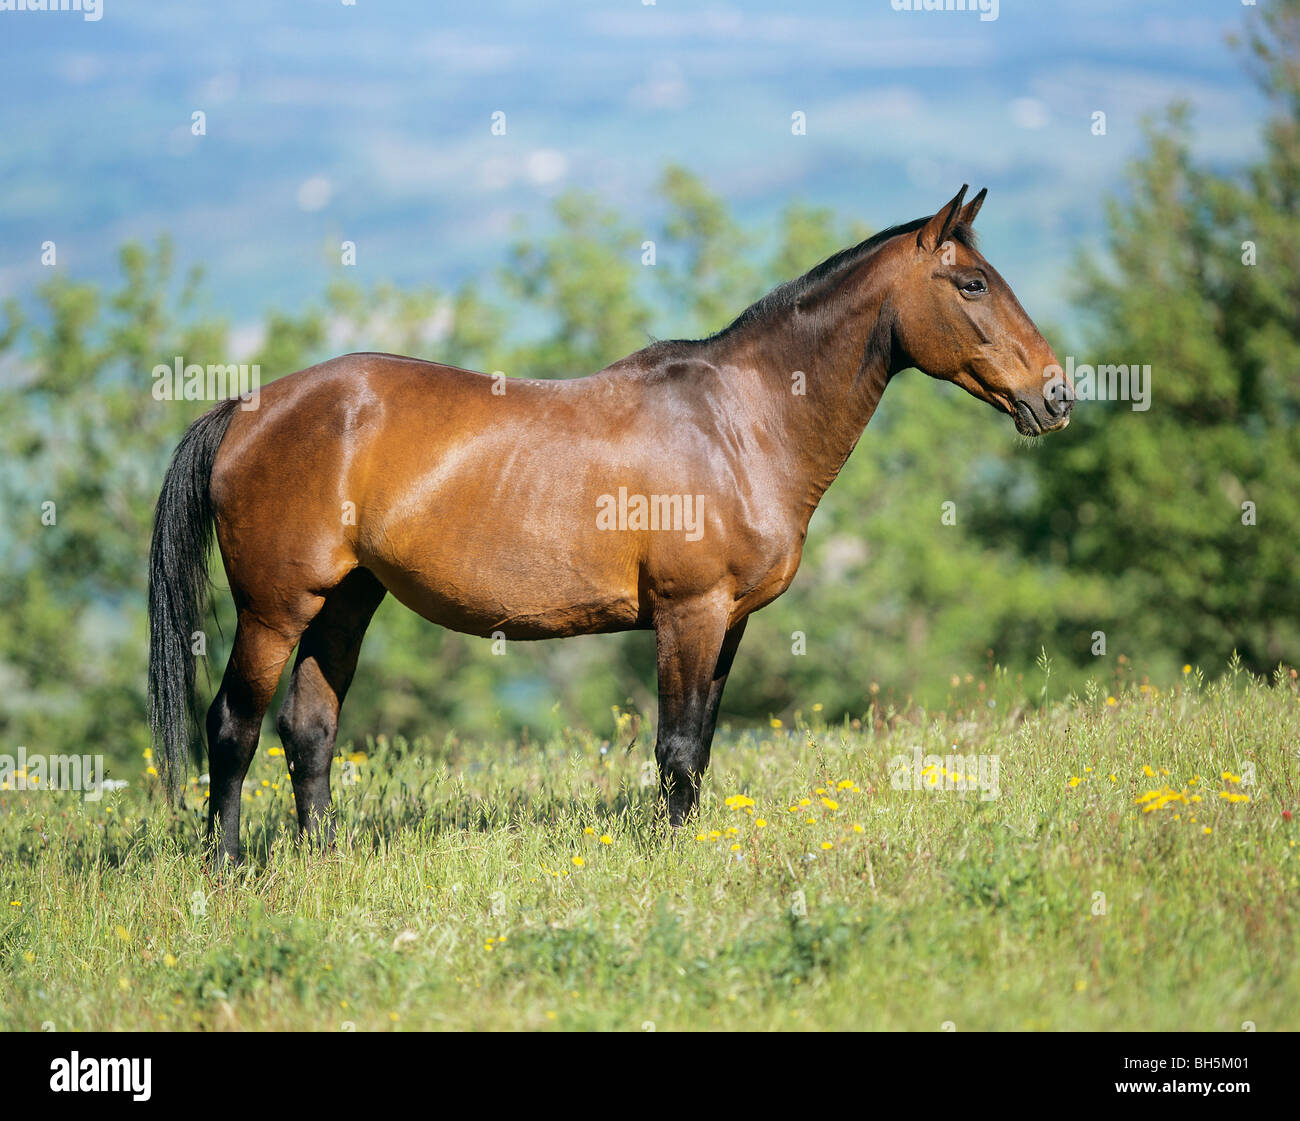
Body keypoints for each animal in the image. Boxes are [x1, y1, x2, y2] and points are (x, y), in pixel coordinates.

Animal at [148, 185, 1073, 863]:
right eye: (972, 284)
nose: (1058, 393)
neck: (739, 421)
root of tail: (246, 408)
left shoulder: (727, 622)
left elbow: (700, 745)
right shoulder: (687, 613)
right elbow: (675, 749)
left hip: (346, 599)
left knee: (309, 728)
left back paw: (323, 858)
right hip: (275, 609)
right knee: (232, 725)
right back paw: (227, 866)